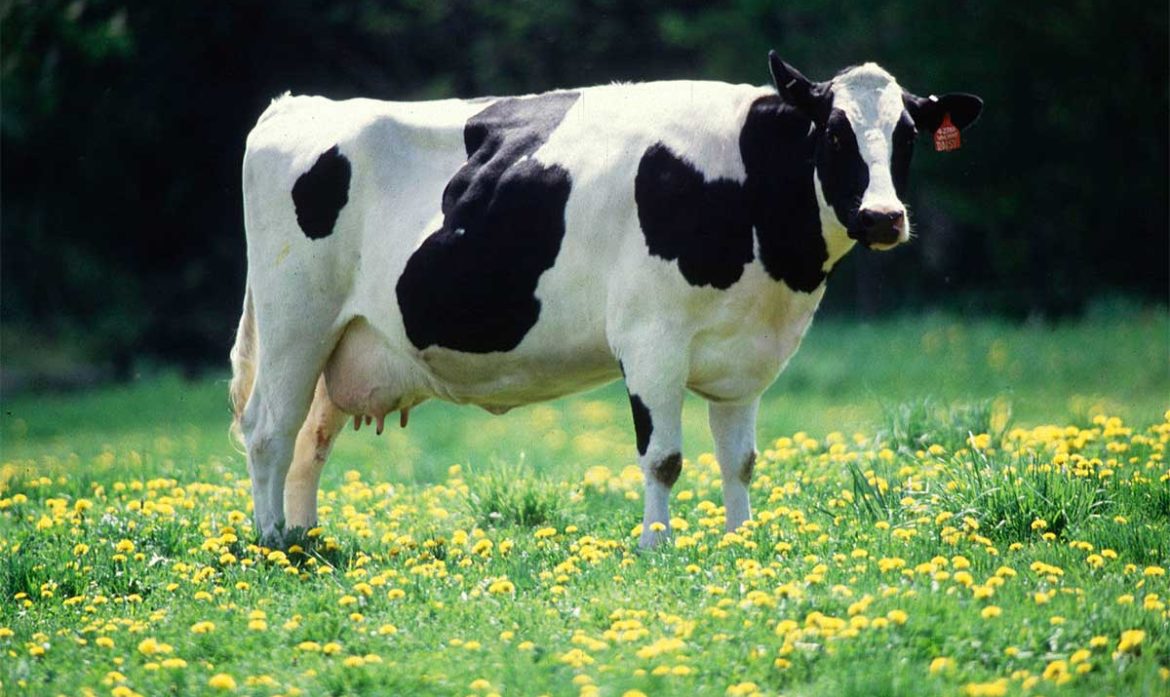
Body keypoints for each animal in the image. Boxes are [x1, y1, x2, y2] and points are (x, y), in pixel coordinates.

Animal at [229, 52, 982, 548]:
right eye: (833, 132)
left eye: (908, 135)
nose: (884, 217)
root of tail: (297, 105)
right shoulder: (651, 339)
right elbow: (664, 457)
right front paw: (656, 546)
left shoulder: (745, 357)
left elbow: (739, 459)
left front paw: (741, 541)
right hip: (295, 321)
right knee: (269, 430)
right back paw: (273, 543)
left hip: (344, 340)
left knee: (310, 440)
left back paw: (306, 538)